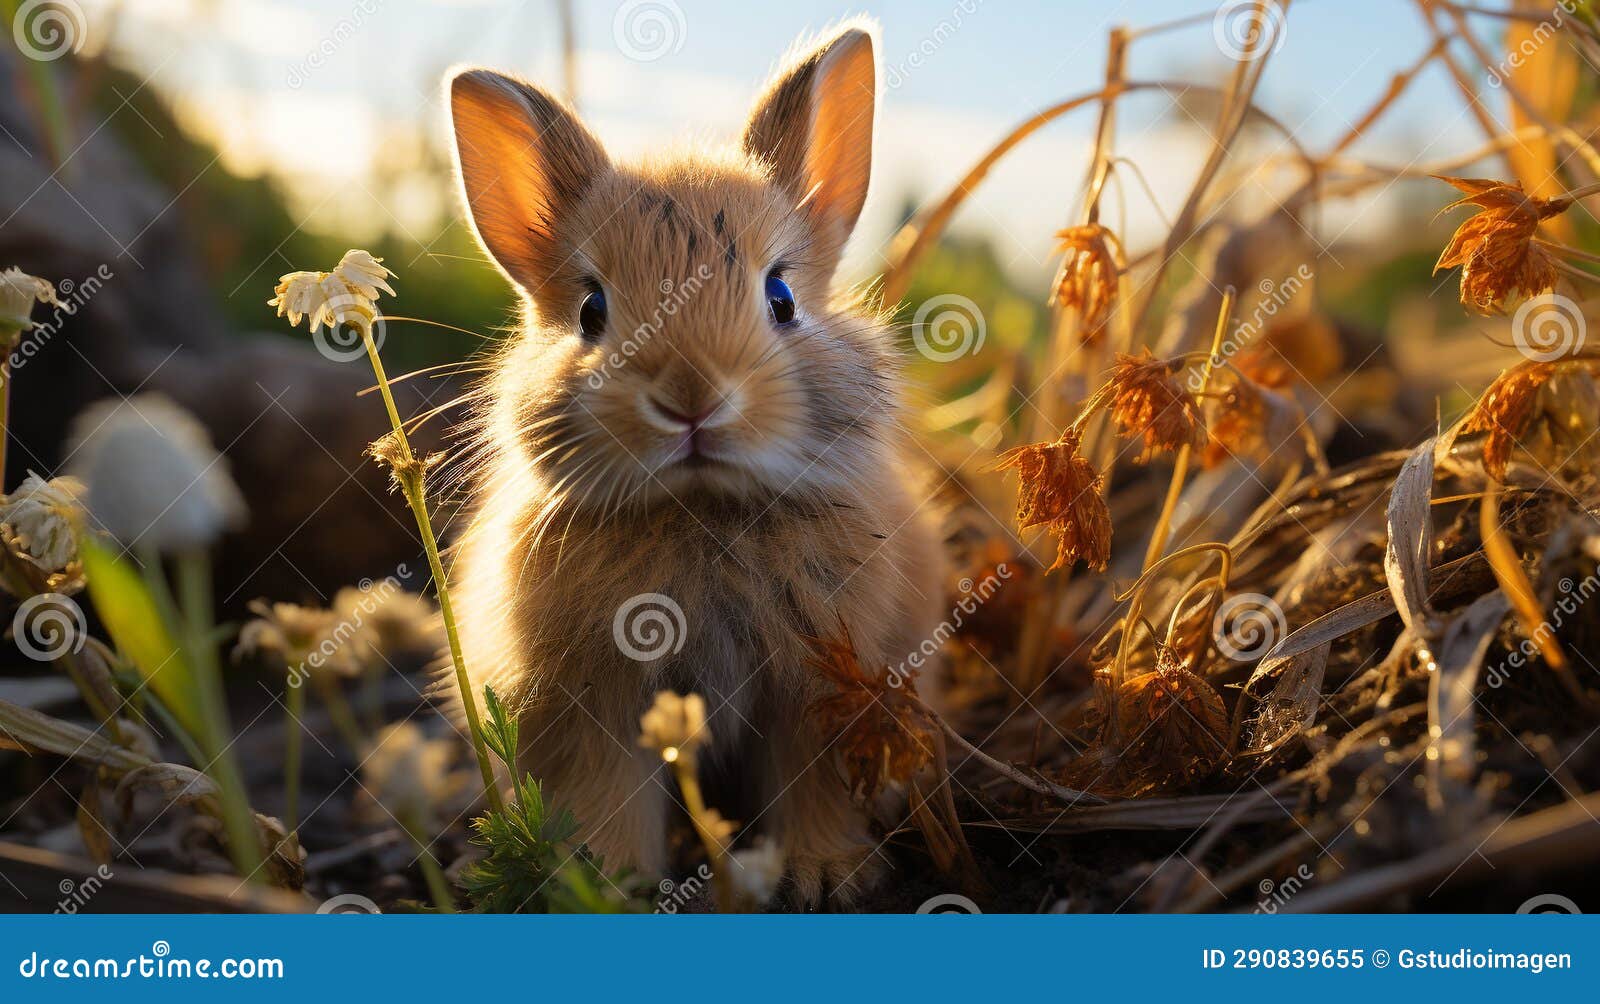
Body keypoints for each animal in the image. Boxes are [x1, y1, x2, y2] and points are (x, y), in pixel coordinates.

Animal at [444, 19, 945, 908]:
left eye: (782, 298)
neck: (700, 507)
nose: (692, 398)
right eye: (591, 311)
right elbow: (609, 791)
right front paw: (604, 879)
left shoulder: (820, 692)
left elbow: (812, 783)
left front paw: (825, 877)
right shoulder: (595, 706)